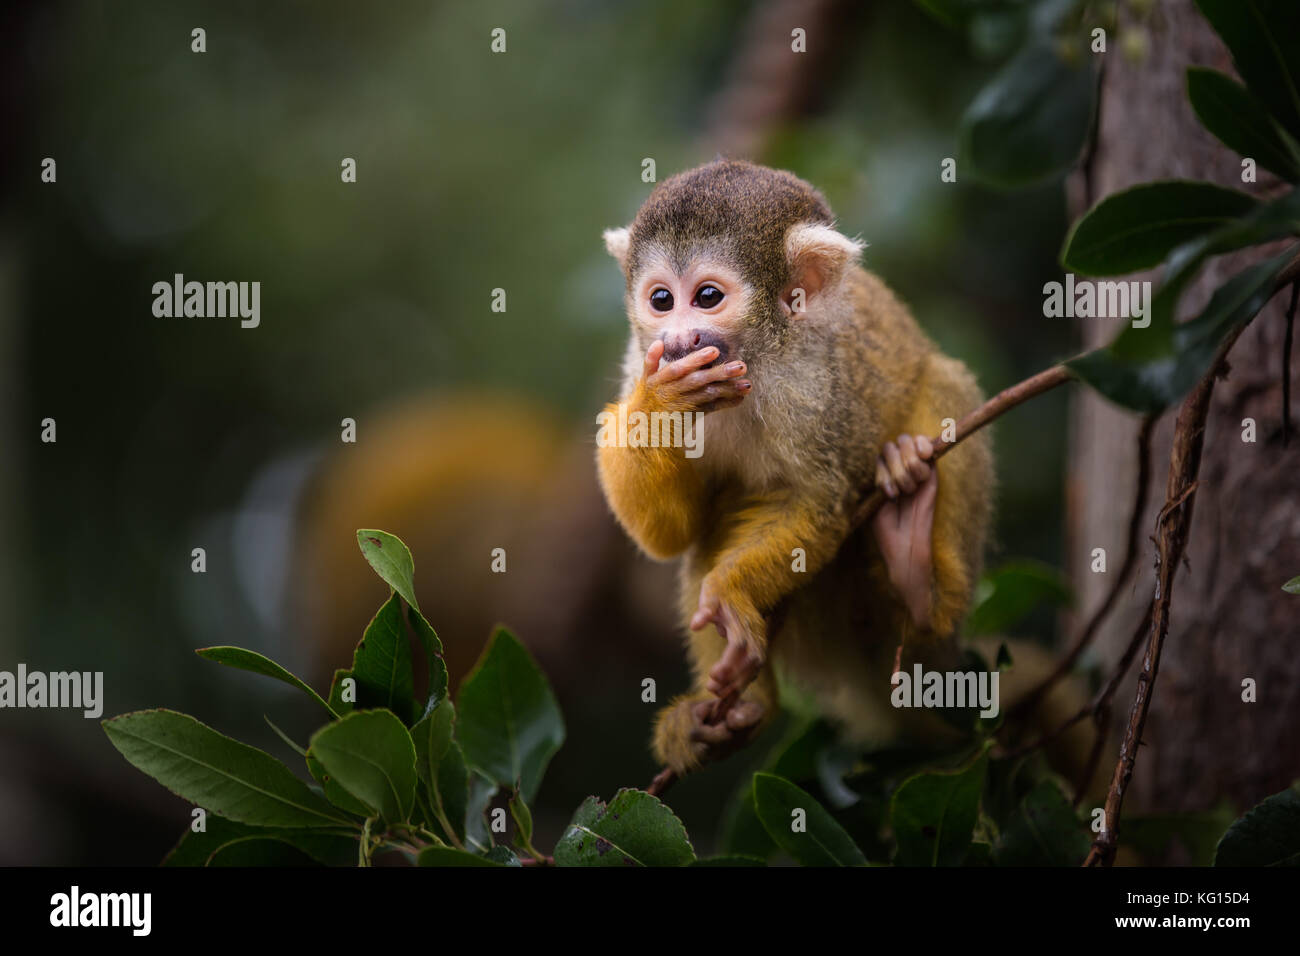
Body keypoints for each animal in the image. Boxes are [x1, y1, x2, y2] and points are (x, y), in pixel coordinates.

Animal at [596, 159, 998, 776]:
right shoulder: (639, 362)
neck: (757, 362)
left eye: (706, 297)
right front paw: (664, 403)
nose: (679, 337)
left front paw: (729, 592)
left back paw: (919, 578)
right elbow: (669, 535)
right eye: (661, 300)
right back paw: (731, 713)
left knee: (945, 384)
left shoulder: (817, 387)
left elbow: (818, 502)